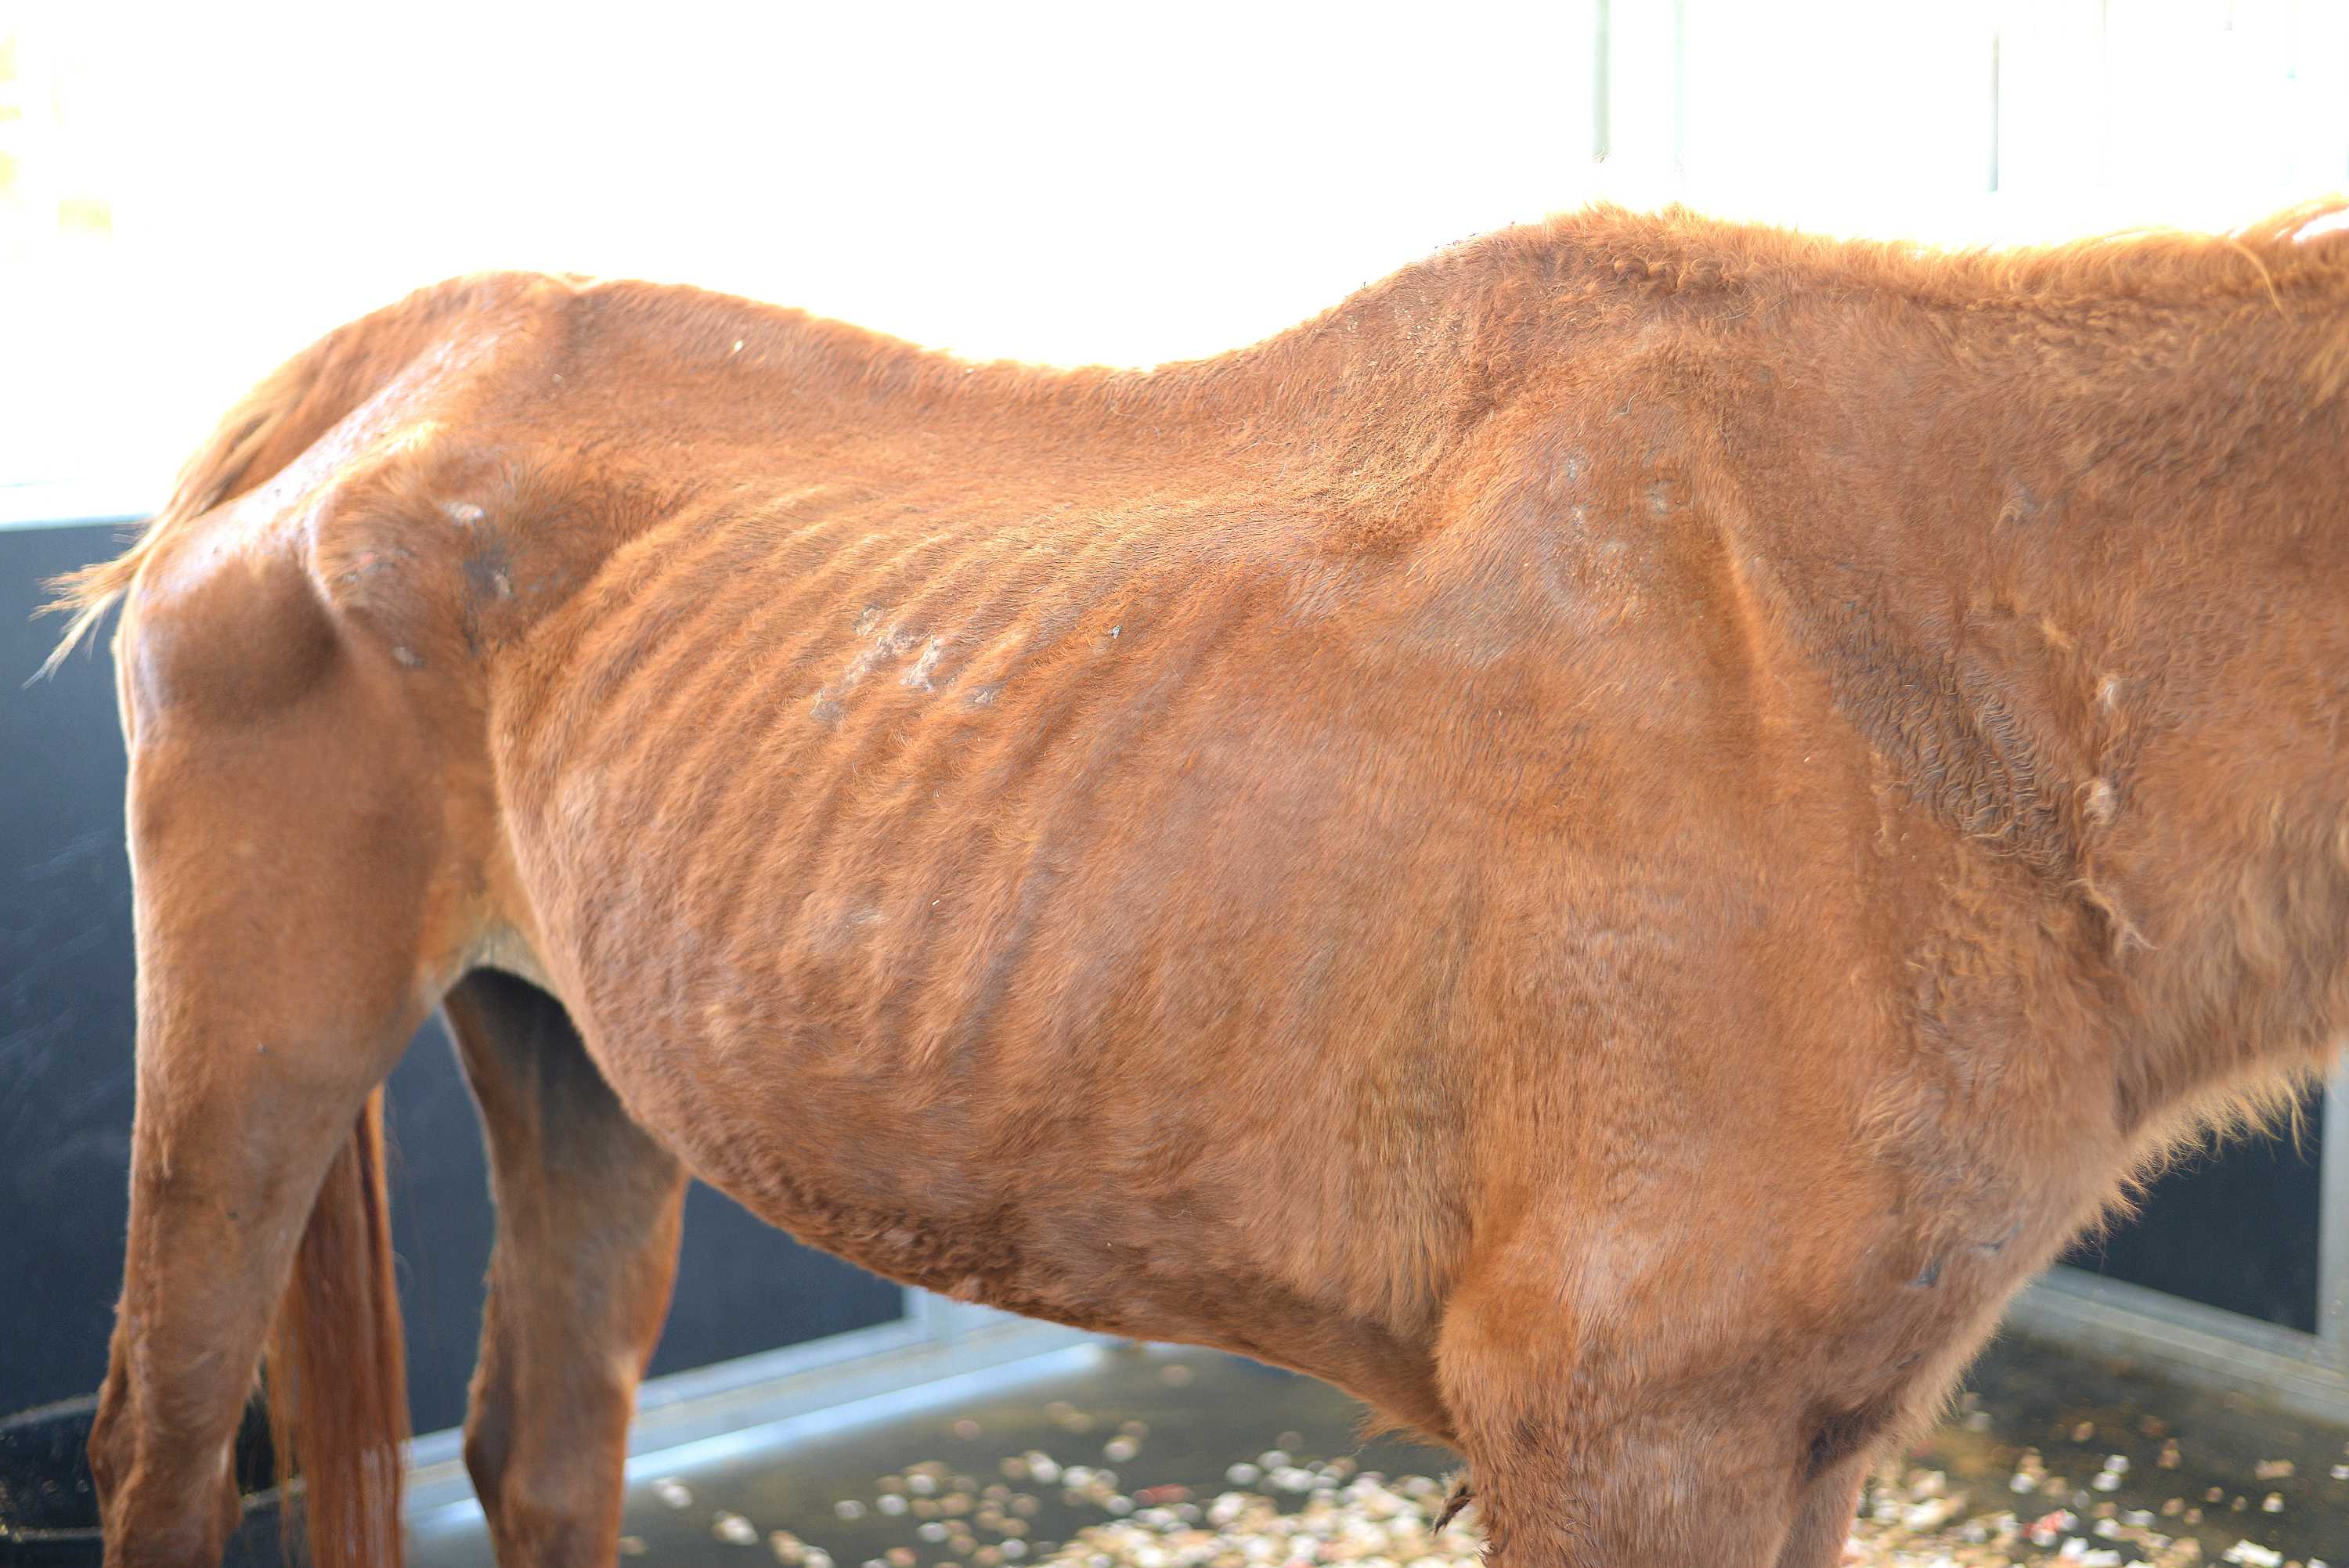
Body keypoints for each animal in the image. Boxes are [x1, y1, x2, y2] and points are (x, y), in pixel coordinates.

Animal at [42, 196, 2349, 1568]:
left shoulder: (1810, 1437)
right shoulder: (1622, 1431)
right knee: (166, 1433)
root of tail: (388, 382)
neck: (1919, 667)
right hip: (257, 1040)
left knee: (544, 1435)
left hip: (571, 1053)